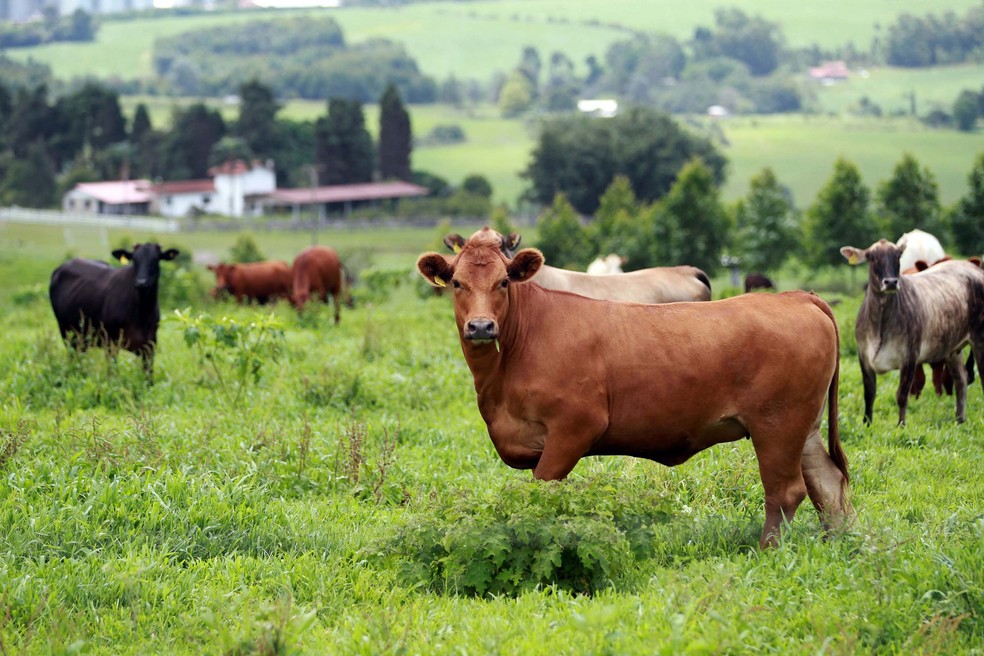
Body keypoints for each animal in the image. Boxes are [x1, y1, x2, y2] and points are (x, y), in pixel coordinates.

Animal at [49, 243, 179, 380]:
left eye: (155, 259)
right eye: (134, 260)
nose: (141, 282)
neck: (142, 312)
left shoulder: (150, 345)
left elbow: (148, 378)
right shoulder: (111, 343)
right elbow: (113, 373)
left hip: (83, 338)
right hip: (67, 332)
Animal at [840, 239, 984, 425]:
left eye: (897, 256)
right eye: (872, 257)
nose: (891, 282)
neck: (880, 323)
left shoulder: (910, 356)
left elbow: (902, 395)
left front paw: (901, 425)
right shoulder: (864, 356)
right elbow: (869, 394)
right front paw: (867, 424)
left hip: (980, 340)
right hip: (953, 350)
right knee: (961, 380)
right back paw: (960, 419)